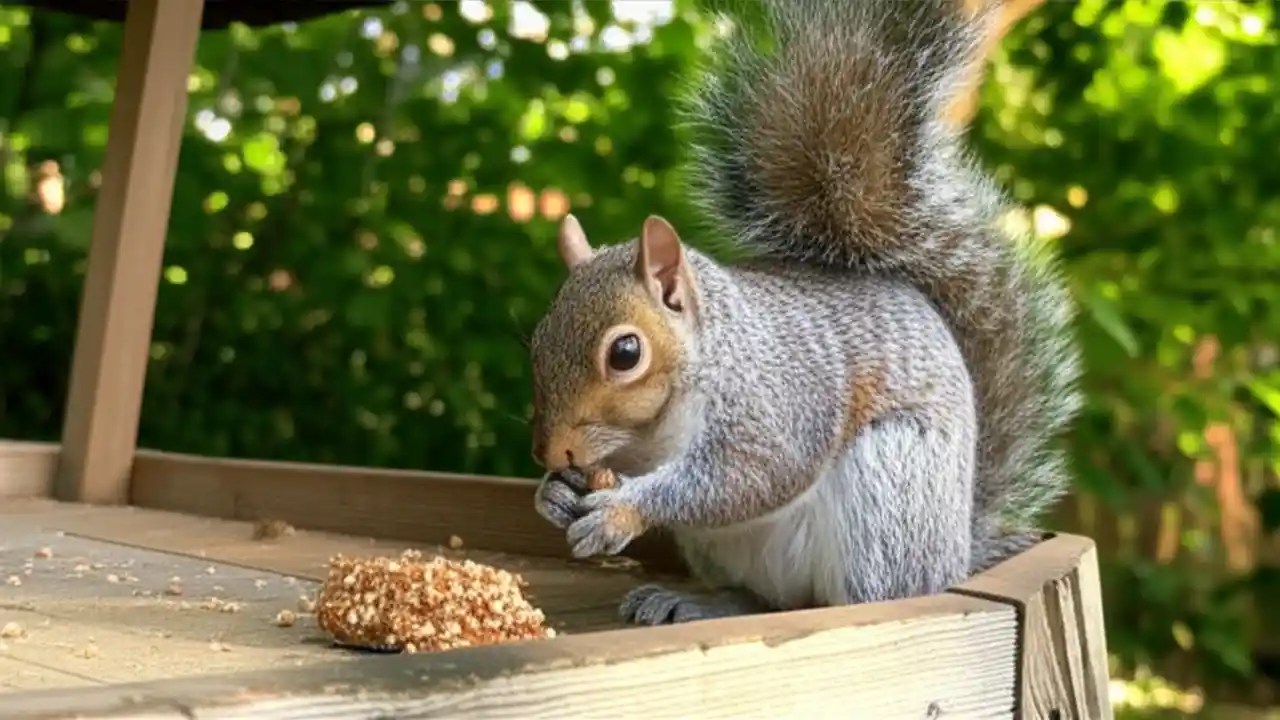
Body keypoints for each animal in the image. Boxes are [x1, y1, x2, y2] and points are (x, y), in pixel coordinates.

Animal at [528, 0, 1082, 625]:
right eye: (537, 338)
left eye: (626, 352)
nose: (549, 451)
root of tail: (955, 553)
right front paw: (552, 493)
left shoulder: (780, 398)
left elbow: (749, 476)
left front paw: (621, 512)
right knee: (764, 599)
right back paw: (699, 601)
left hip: (889, 491)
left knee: (862, 596)